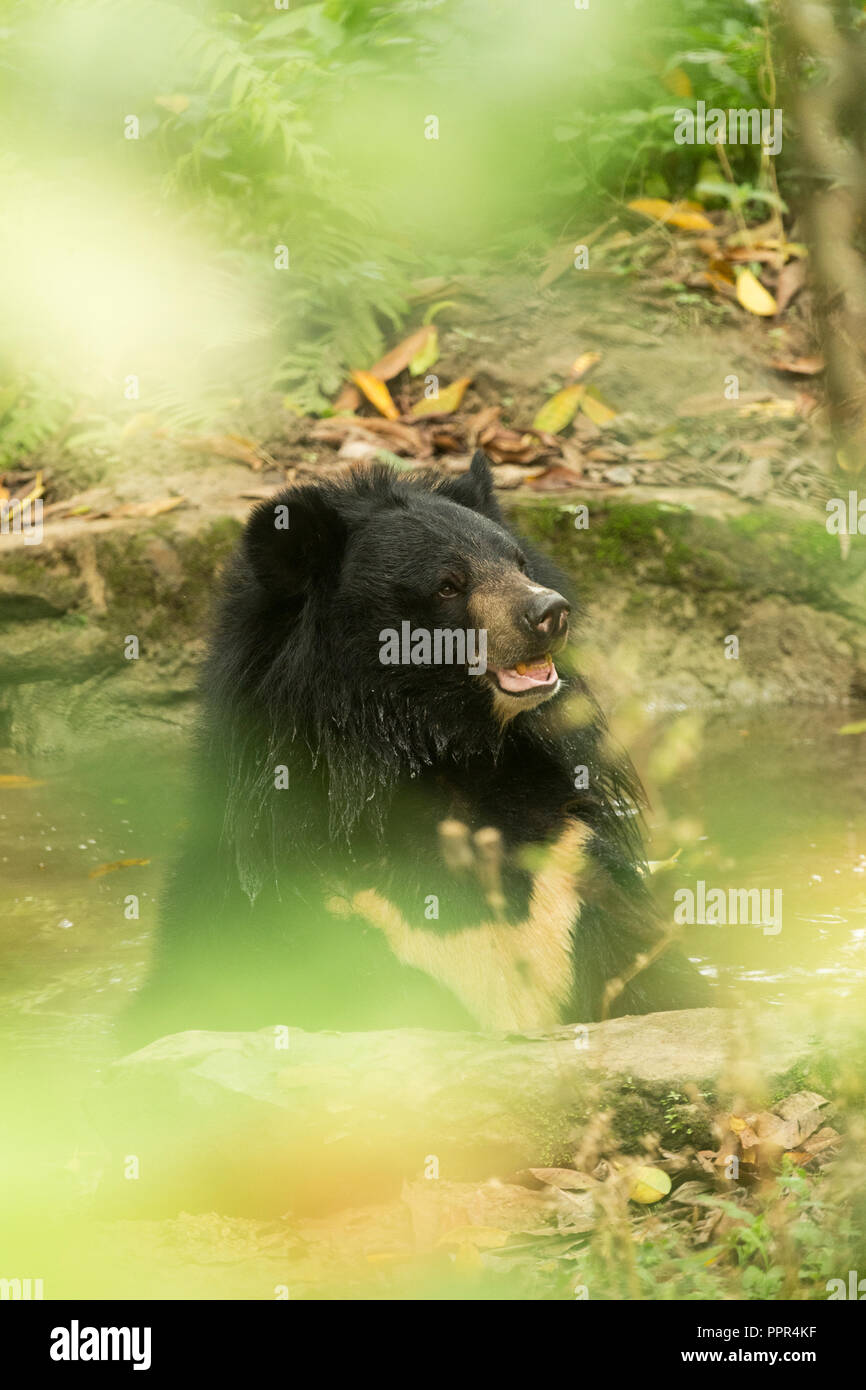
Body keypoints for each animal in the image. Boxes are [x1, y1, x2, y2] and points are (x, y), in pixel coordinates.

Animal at [120, 451, 707, 1048]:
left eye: (520, 564)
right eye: (448, 585)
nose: (550, 613)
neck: (446, 752)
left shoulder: (567, 865)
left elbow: (651, 971)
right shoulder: (323, 895)